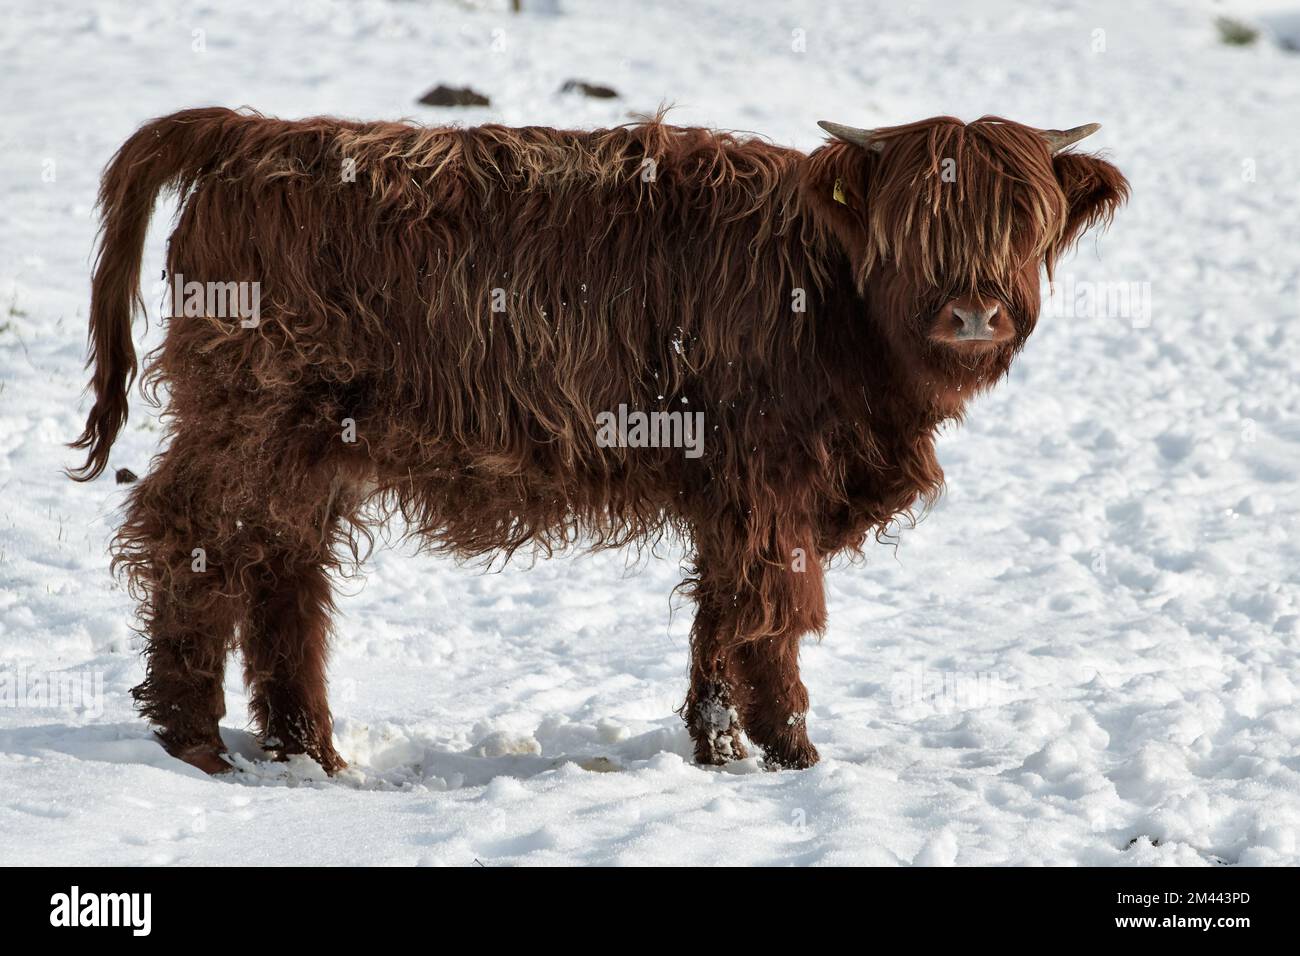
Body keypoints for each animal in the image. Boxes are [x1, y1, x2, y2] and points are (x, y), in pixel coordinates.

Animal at [70, 108, 1127, 774]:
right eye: (917, 222)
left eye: (1023, 222)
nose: (973, 314)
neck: (835, 304)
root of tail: (248, 134)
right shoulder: (771, 484)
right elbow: (772, 615)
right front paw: (795, 756)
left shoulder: (732, 494)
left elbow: (720, 618)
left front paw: (719, 751)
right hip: (247, 414)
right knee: (191, 542)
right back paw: (196, 744)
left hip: (312, 441)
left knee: (282, 572)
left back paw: (309, 753)